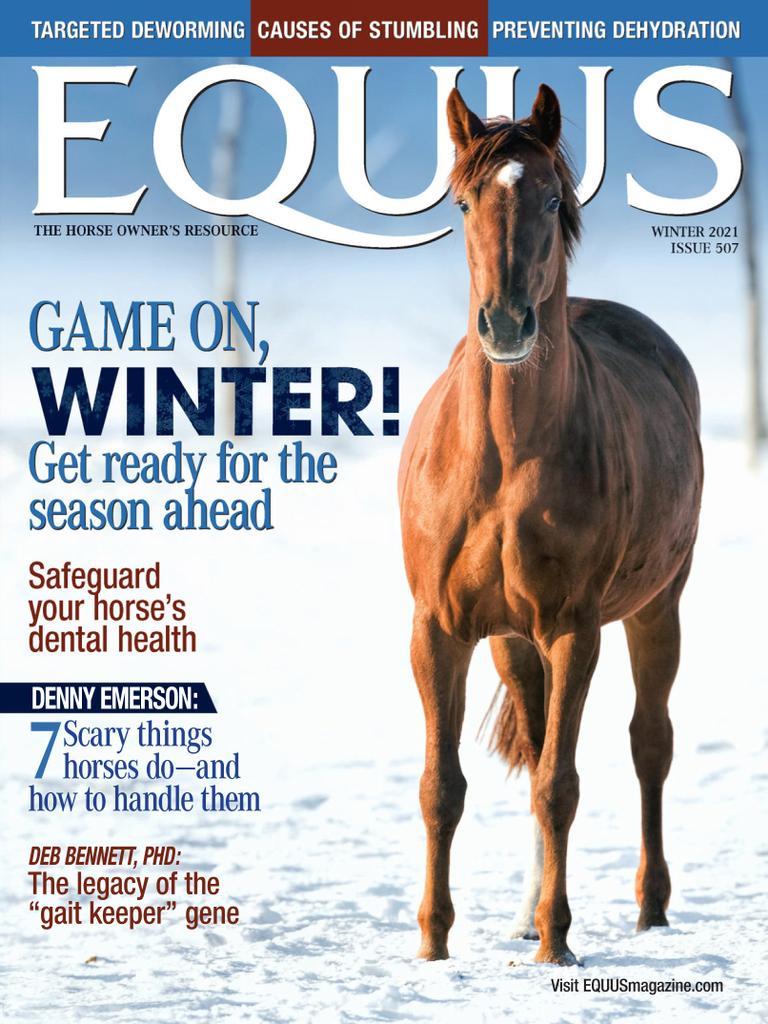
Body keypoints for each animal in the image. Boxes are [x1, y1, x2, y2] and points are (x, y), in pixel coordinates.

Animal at [398, 84, 703, 966]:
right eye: (465, 202)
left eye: (551, 199)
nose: (506, 324)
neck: (505, 459)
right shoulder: (441, 629)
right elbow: (442, 787)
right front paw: (433, 948)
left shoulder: (574, 629)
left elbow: (560, 787)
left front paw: (557, 946)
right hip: (511, 642)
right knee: (535, 745)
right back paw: (526, 911)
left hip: (656, 609)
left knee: (648, 744)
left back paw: (649, 907)